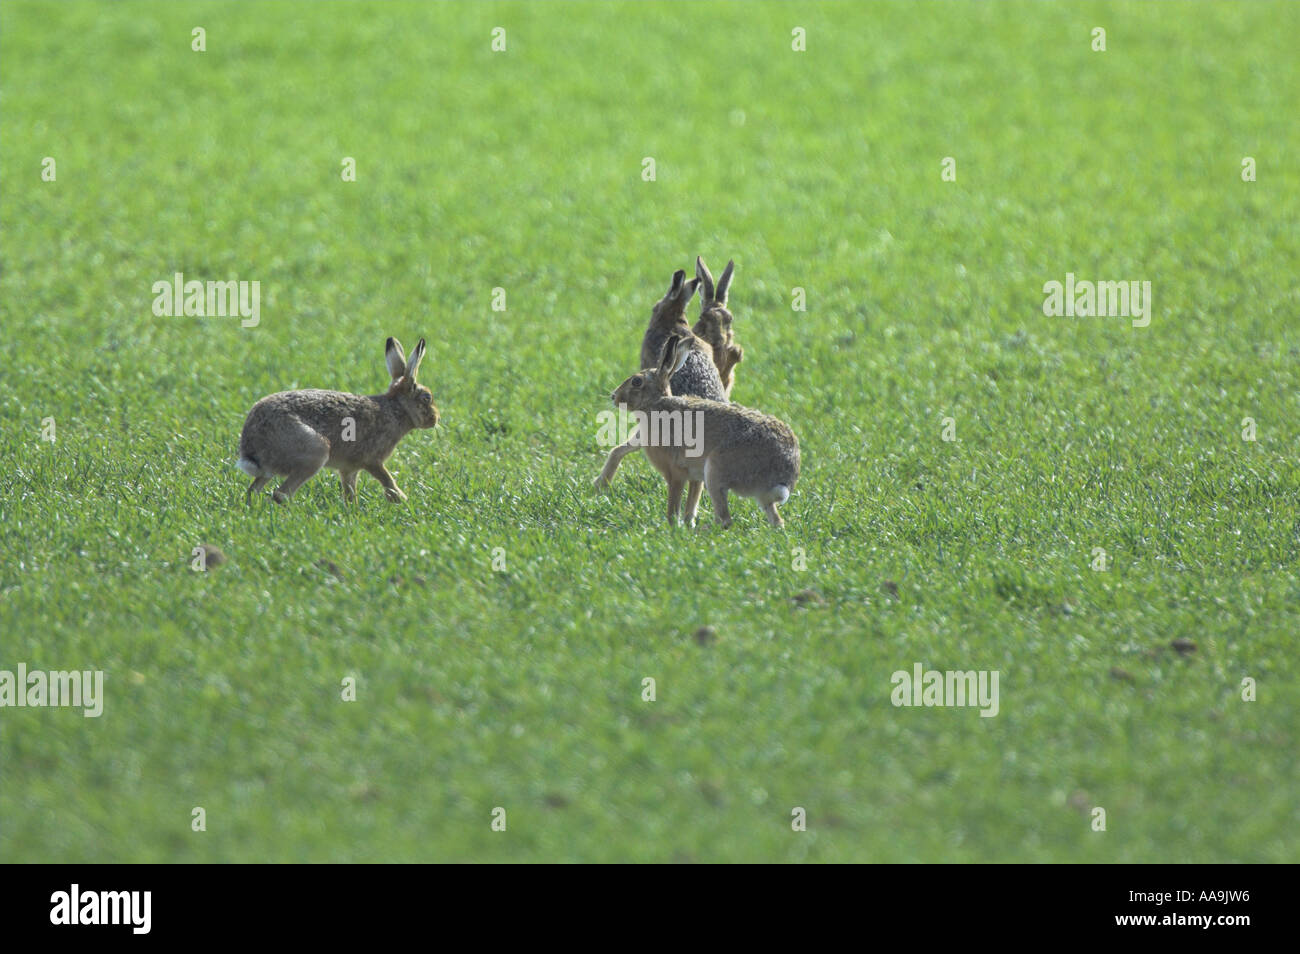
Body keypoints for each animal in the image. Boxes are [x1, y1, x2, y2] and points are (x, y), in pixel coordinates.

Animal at [237, 336, 439, 505]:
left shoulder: (349, 469)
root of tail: (250, 447)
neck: (397, 409)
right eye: (427, 398)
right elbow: (387, 480)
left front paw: (353, 511)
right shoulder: (372, 459)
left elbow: (349, 491)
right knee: (281, 494)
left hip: (272, 469)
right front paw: (403, 500)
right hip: (314, 452)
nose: (435, 418)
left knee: (253, 490)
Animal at [609, 333, 799, 528]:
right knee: (776, 519)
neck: (655, 404)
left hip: (715, 470)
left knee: (726, 519)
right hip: (753, 492)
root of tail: (785, 472)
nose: (614, 396)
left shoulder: (676, 473)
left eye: (636, 381)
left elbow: (674, 506)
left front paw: (672, 527)